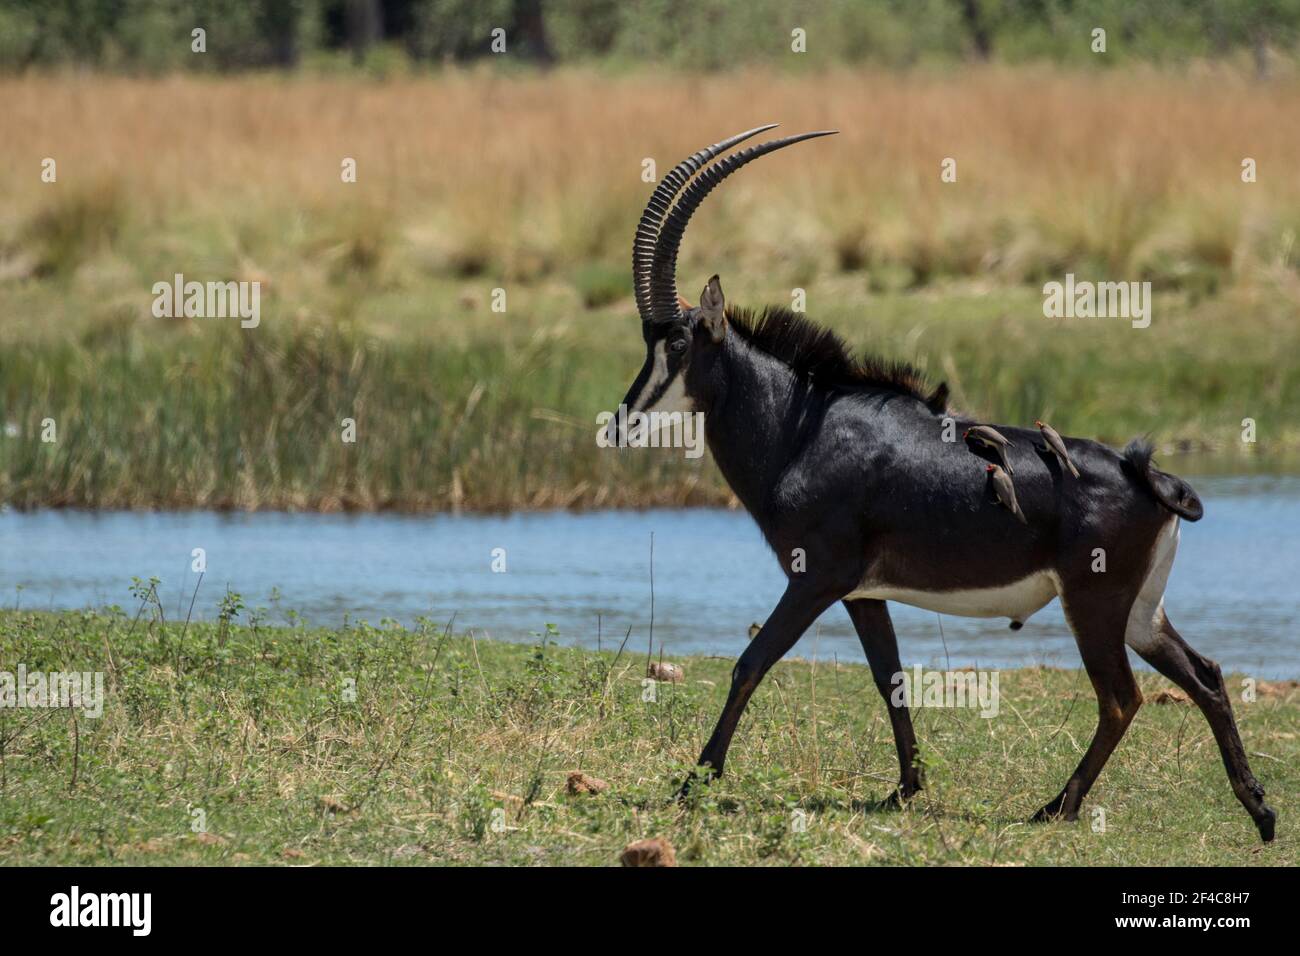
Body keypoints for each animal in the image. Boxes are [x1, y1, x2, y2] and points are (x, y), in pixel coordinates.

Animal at [612, 125, 1276, 841]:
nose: (622, 422)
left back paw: (1058, 806)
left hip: (1095, 603)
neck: (801, 426)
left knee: (1121, 697)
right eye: (648, 340)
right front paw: (906, 788)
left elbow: (749, 664)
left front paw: (694, 781)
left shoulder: (815, 578)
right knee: (1204, 675)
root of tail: (1144, 472)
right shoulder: (862, 593)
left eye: (679, 343)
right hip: (1139, 611)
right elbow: (891, 679)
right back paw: (1260, 810)